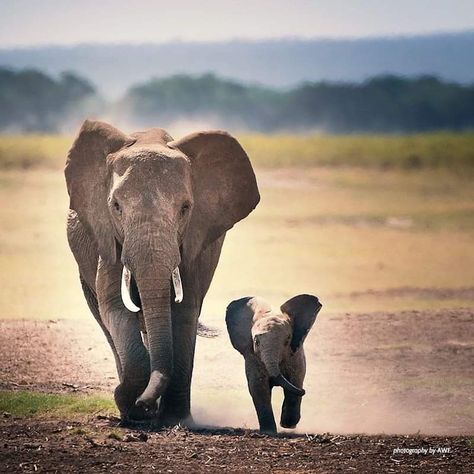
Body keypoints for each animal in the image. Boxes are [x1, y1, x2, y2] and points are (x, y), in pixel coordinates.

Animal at [65, 120, 260, 424]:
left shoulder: (195, 241)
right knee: (105, 320)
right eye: (116, 207)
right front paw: (133, 410)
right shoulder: (108, 238)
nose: (142, 405)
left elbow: (184, 310)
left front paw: (175, 420)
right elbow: (115, 306)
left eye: (185, 208)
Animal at [226, 292, 322, 434]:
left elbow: (294, 380)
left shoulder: (294, 356)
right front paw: (268, 432)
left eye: (287, 340)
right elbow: (258, 387)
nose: (304, 390)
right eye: (256, 342)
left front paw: (287, 425)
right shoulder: (253, 358)